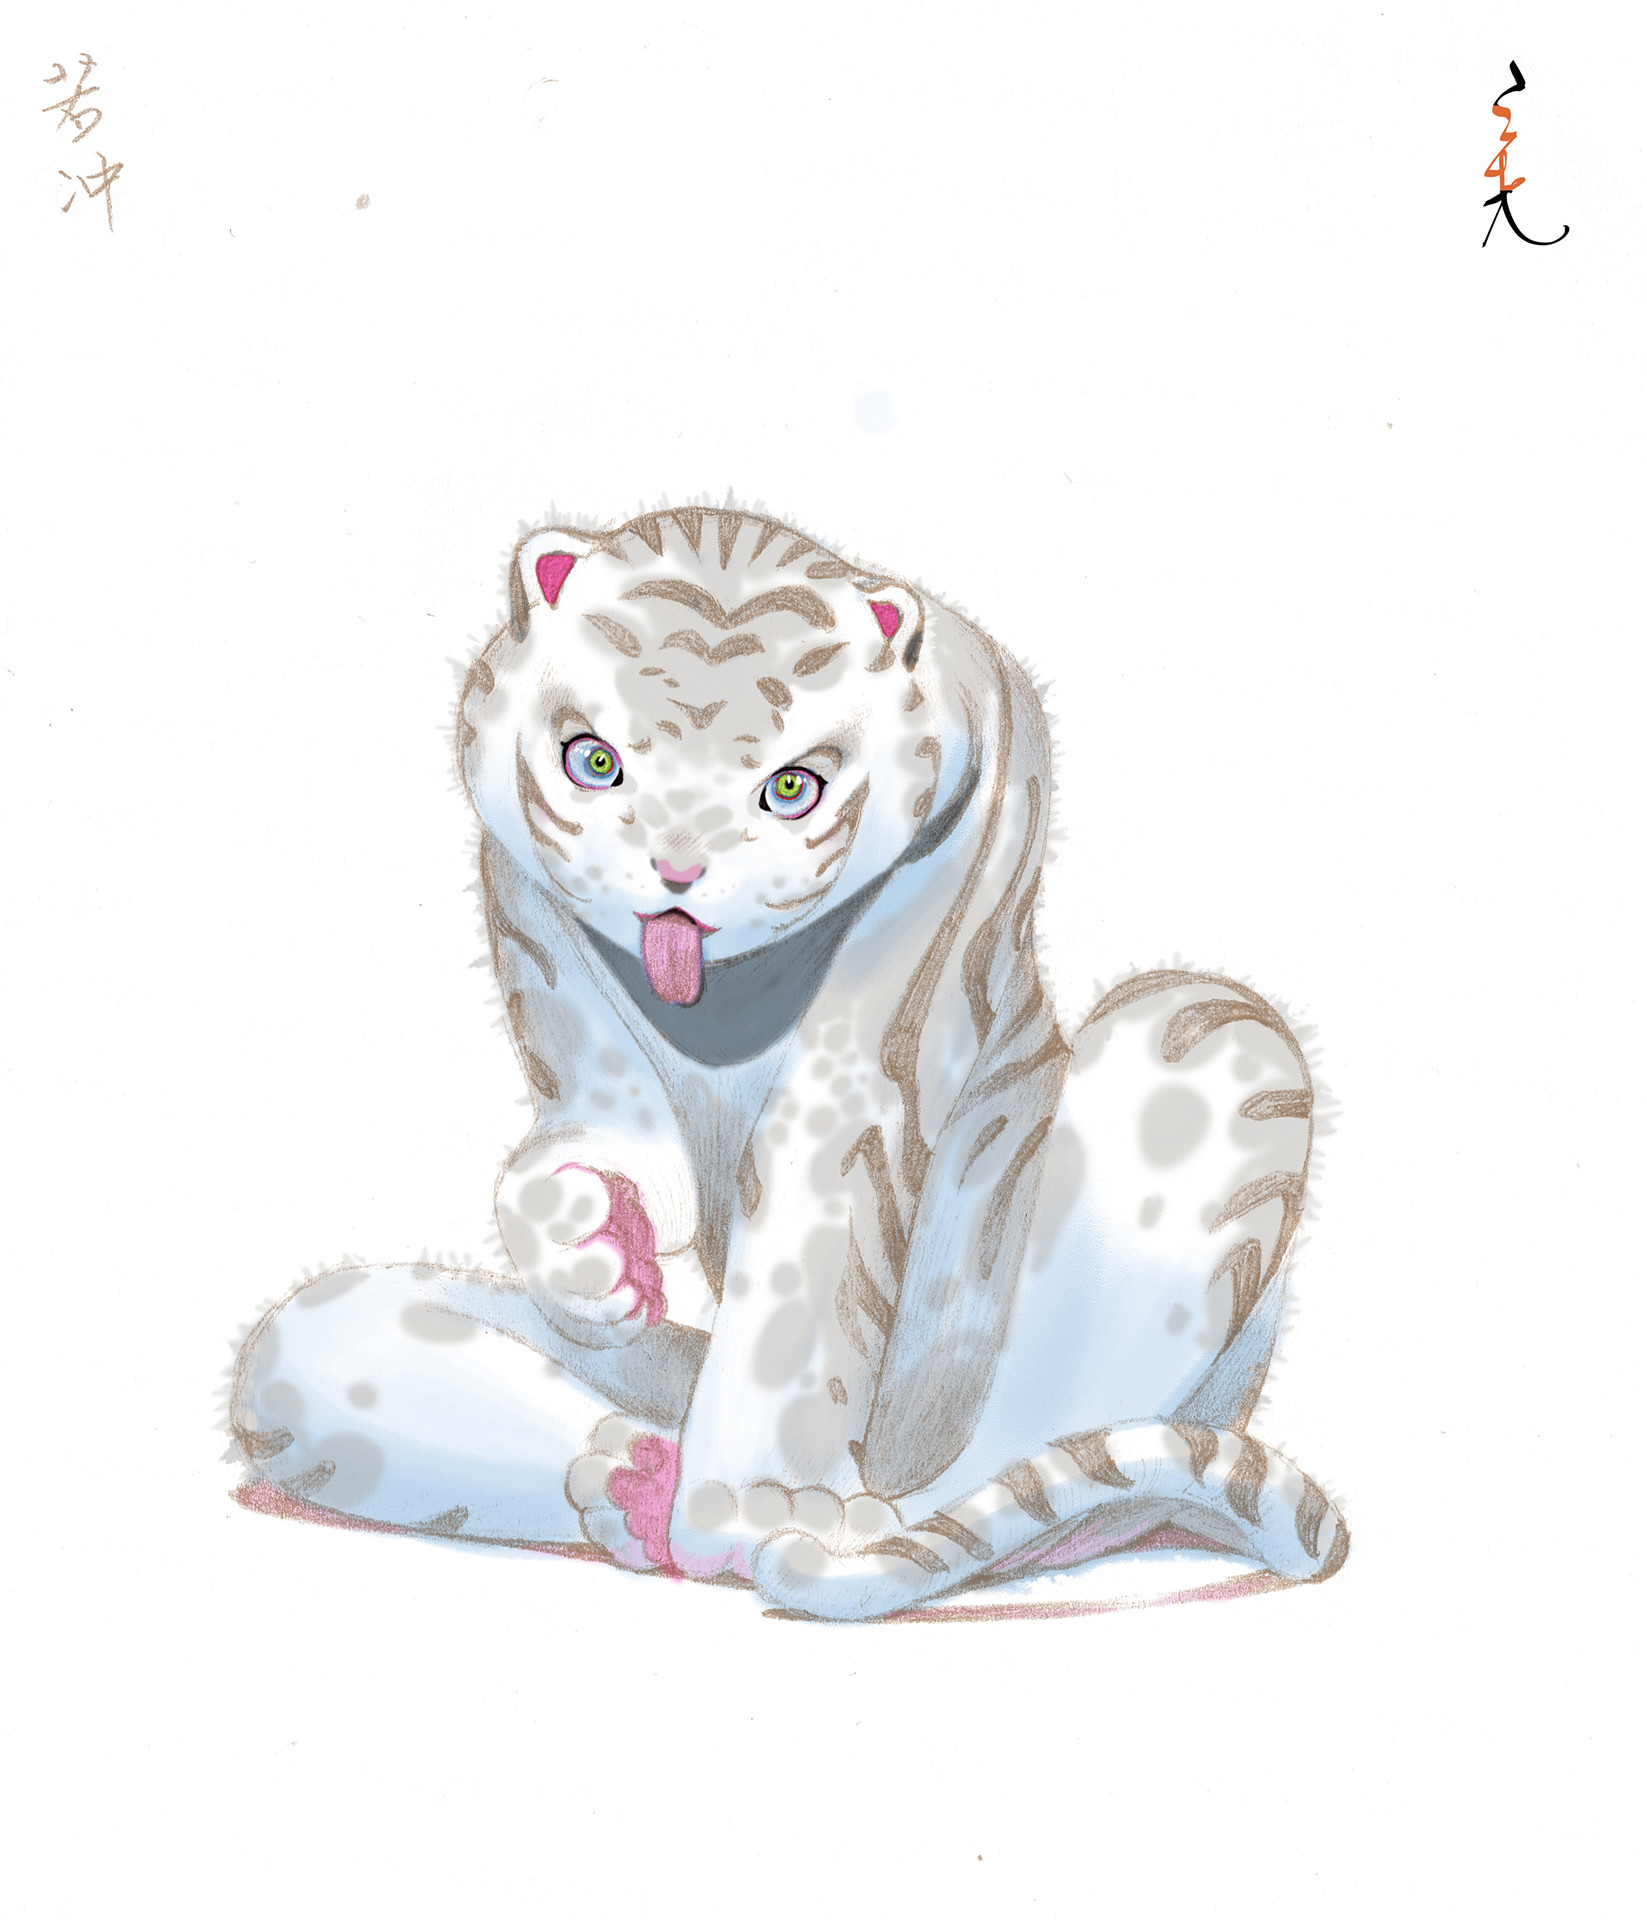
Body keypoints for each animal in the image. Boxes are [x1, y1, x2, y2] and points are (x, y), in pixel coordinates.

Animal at [228, 505, 1348, 1621]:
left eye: (791, 789)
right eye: (595, 763)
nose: (677, 873)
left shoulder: (883, 1029)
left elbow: (806, 1255)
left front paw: (760, 1508)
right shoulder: (531, 915)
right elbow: (606, 1144)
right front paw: (596, 1251)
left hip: (1212, 1049)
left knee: (998, 1474)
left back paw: (829, 1529)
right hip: (337, 1351)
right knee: (307, 1344)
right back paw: (632, 1489)